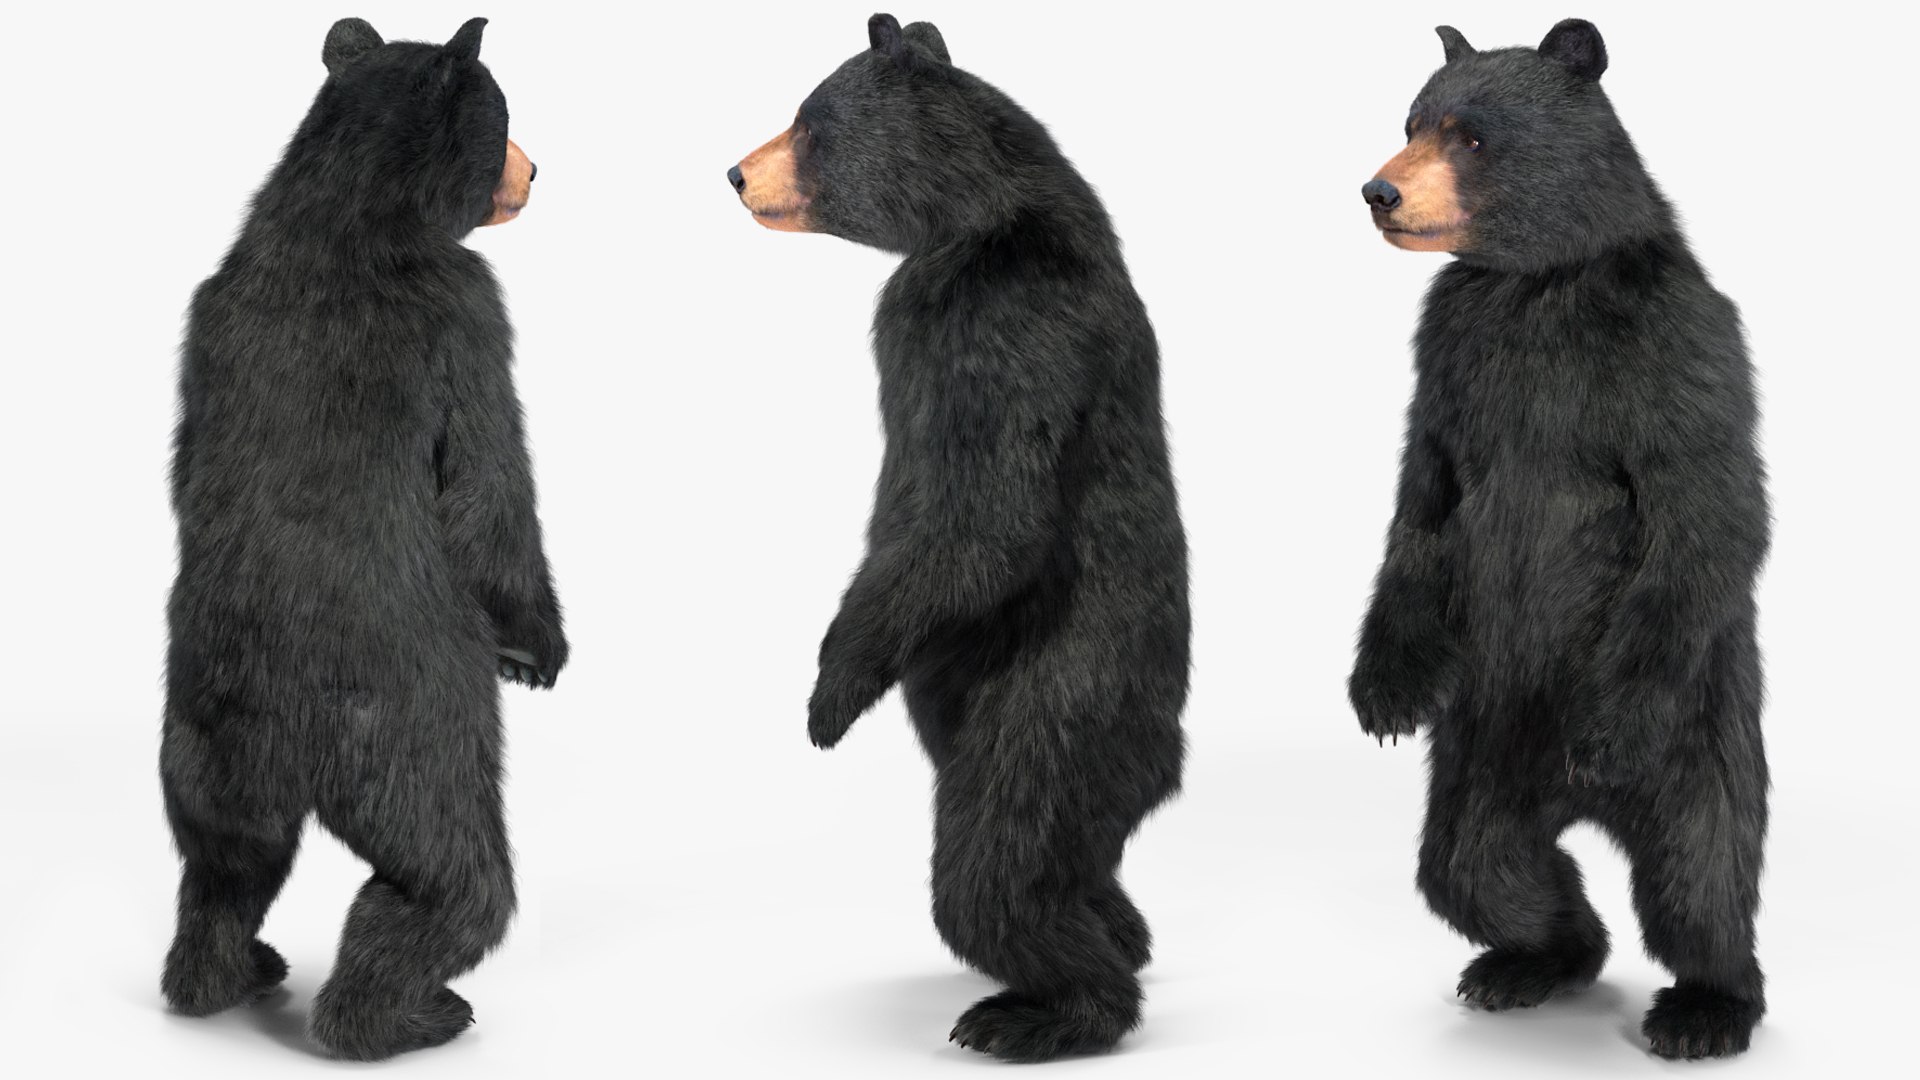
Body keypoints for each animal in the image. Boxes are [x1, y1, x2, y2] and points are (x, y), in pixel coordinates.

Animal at [160, 17, 563, 1061]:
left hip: (207, 742)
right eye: (501, 114)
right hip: (416, 726)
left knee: (224, 864)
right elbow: (489, 479)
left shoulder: (202, 316)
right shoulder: (465, 311)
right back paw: (407, 1016)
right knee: (451, 875)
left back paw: (223, 975)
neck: (345, 209)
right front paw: (538, 649)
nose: (533, 168)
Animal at [729, 14, 1188, 1063]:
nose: (735, 172)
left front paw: (827, 698)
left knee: (998, 849)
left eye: (810, 123)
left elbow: (989, 513)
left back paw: (1040, 1010)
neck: (971, 222)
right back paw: (1118, 928)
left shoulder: (1011, 319)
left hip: (1063, 689)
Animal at [1350, 20, 1771, 1060]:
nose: (1379, 190)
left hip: (1695, 731)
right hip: (1479, 748)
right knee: (1474, 865)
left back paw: (1706, 1008)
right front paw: (1380, 692)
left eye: (1472, 136)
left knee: (1700, 878)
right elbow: (1427, 501)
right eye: (1412, 122)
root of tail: (1580, 806)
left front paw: (1608, 735)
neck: (1536, 282)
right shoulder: (1450, 352)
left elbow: (1708, 505)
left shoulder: (1673, 341)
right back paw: (1530, 960)